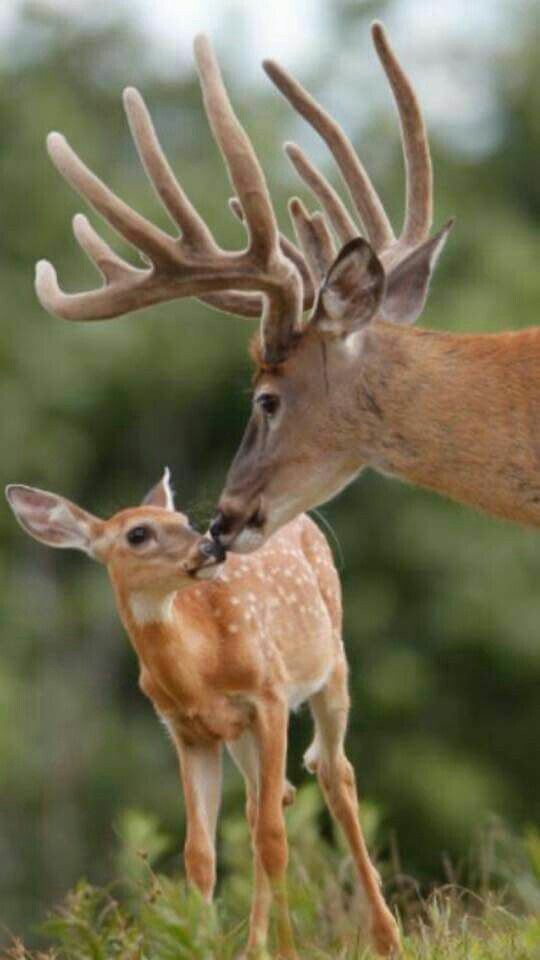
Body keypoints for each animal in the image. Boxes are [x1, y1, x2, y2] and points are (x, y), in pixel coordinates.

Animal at [6, 472, 400, 958]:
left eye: (183, 521)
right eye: (138, 534)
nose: (211, 547)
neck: (202, 665)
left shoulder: (269, 697)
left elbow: (274, 839)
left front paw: (288, 951)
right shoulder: (189, 732)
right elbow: (200, 854)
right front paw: (204, 943)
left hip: (333, 662)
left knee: (332, 772)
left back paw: (386, 935)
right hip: (239, 734)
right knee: (264, 801)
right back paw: (254, 947)